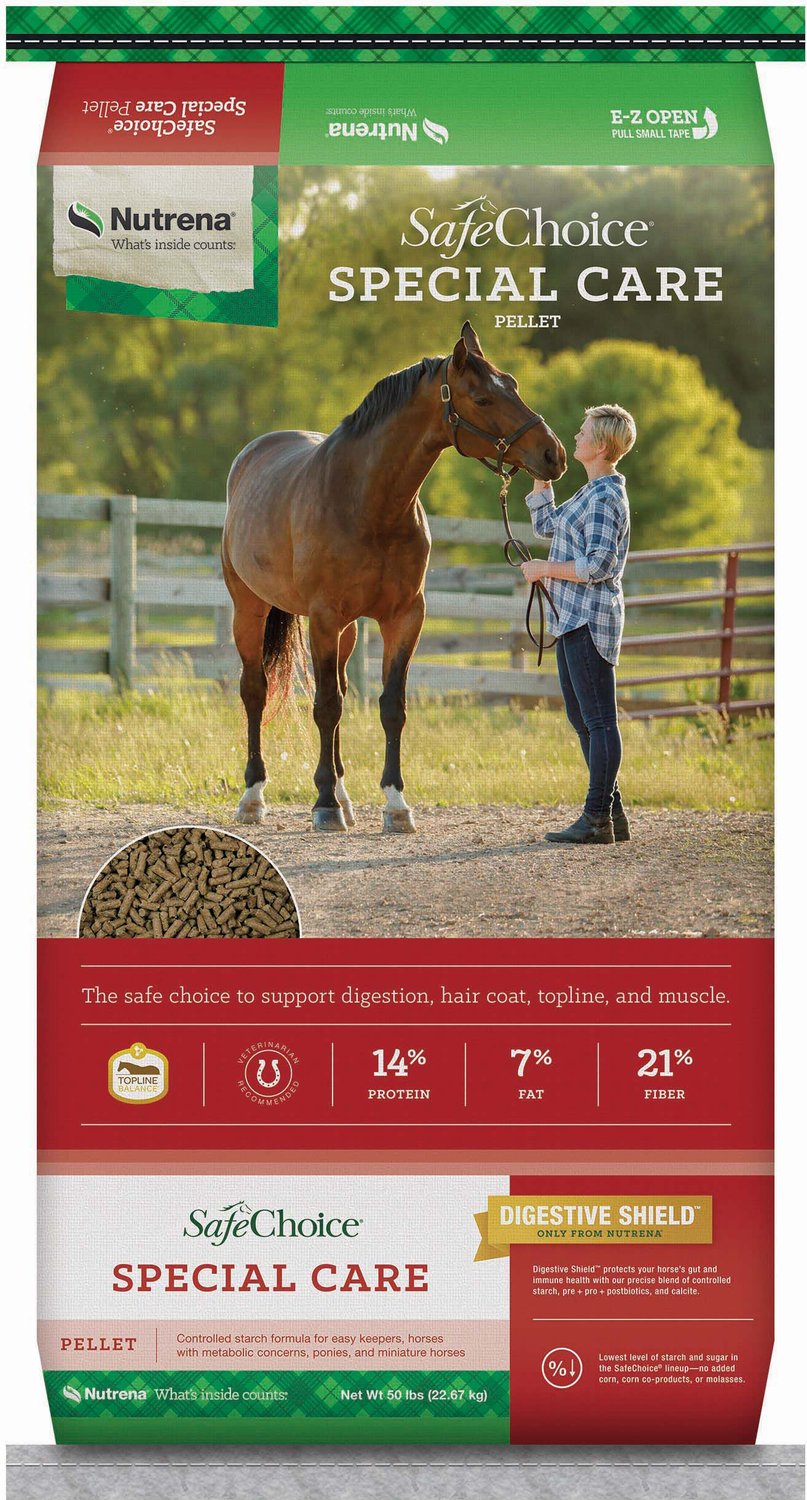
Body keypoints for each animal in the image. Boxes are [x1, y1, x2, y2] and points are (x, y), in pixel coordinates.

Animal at [222, 321, 566, 833]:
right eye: (482, 398)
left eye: (514, 384)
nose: (553, 454)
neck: (368, 501)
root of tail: (251, 454)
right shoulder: (324, 617)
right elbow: (324, 706)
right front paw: (323, 804)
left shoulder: (404, 617)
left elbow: (390, 706)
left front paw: (395, 803)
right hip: (251, 609)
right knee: (255, 692)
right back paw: (254, 796)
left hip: (346, 631)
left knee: (341, 693)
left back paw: (343, 796)